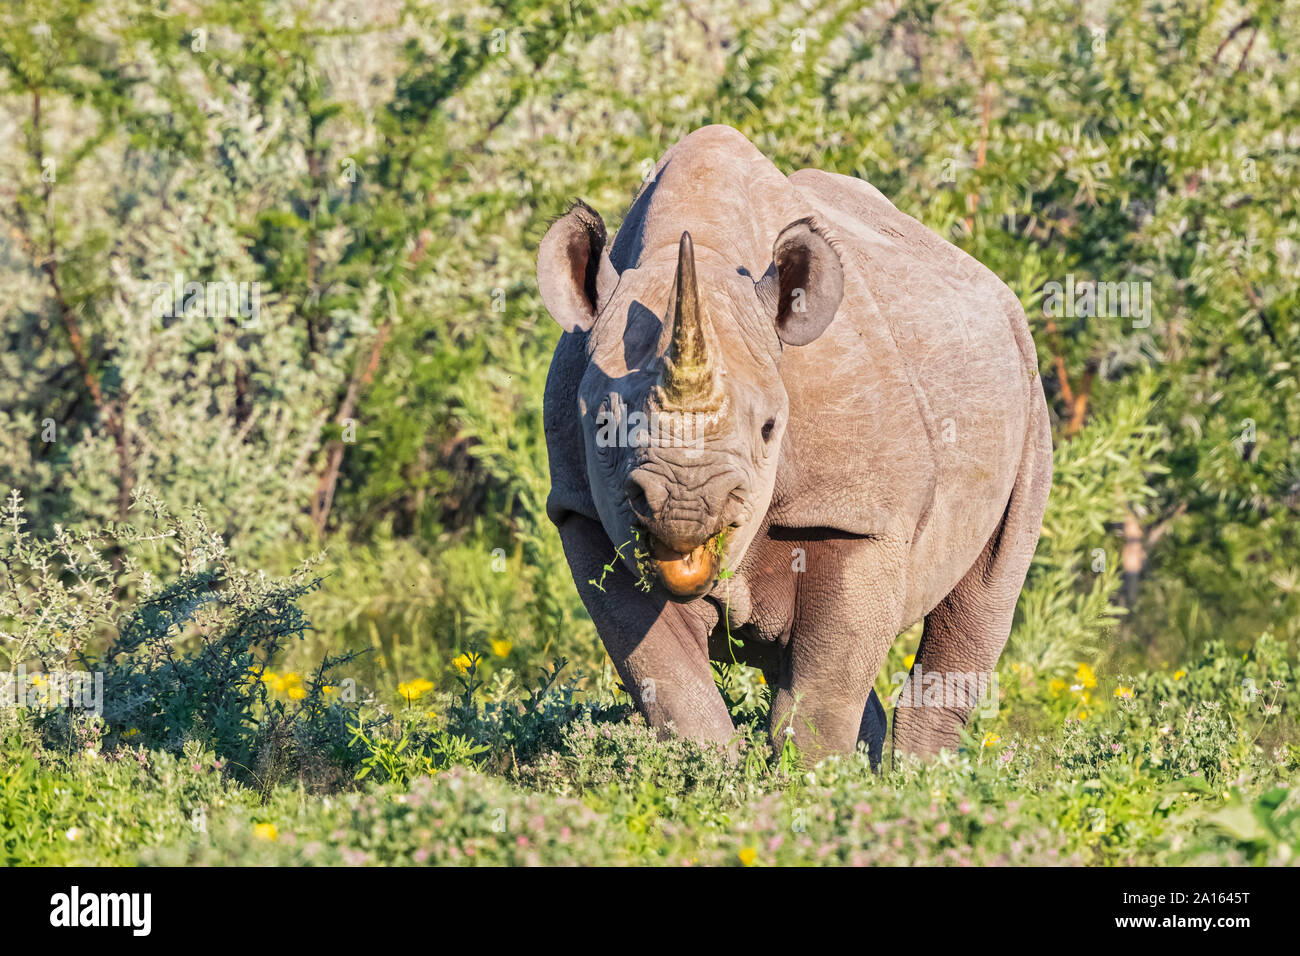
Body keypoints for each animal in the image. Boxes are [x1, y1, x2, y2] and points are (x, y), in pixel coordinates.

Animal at [538, 125, 1051, 765]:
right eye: (602, 429)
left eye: (768, 430)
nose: (685, 505)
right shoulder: (580, 510)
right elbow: (670, 684)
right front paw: (712, 774)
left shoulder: (857, 513)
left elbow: (822, 691)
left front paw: (813, 780)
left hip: (1027, 383)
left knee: (981, 598)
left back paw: (924, 776)